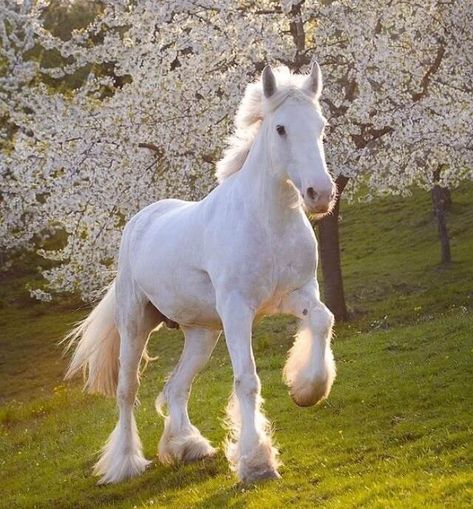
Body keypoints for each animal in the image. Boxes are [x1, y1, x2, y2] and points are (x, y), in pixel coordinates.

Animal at [65, 63, 336, 484]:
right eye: (280, 128)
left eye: (321, 124)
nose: (320, 194)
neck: (268, 221)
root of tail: (140, 220)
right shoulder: (238, 310)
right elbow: (246, 380)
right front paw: (256, 463)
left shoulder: (298, 294)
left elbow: (324, 320)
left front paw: (306, 390)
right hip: (135, 324)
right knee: (128, 391)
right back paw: (125, 464)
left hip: (201, 333)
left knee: (175, 387)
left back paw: (186, 447)